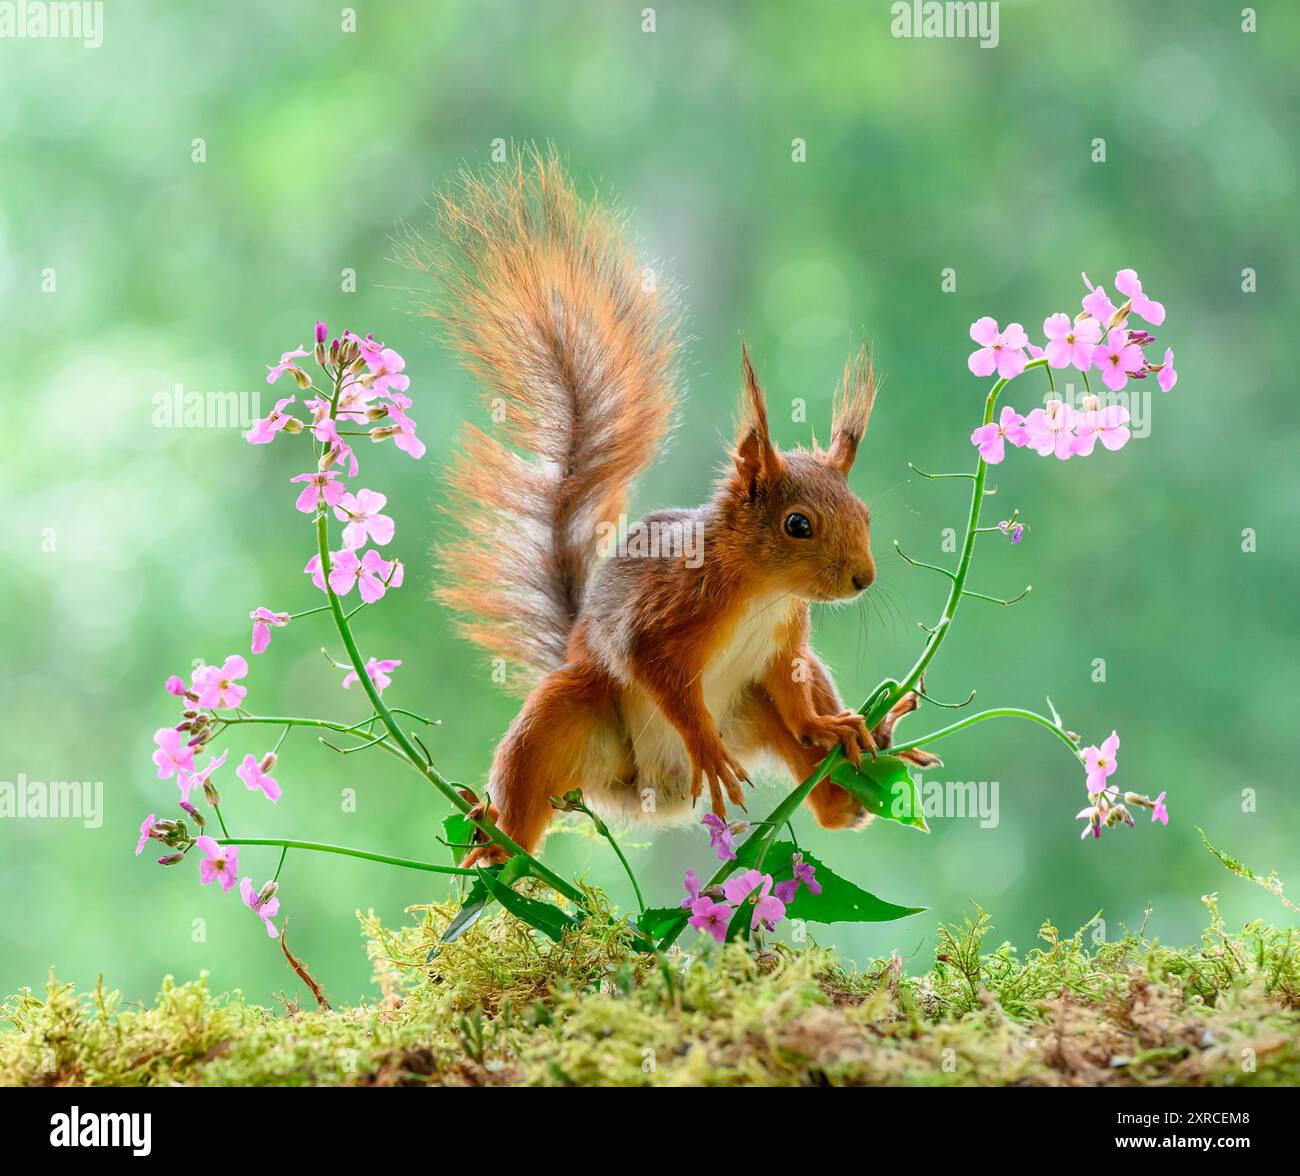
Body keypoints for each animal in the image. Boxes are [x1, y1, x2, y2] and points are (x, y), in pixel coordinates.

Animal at [411, 151, 936, 866]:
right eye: (798, 524)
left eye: (865, 516)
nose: (864, 579)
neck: (761, 589)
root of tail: (649, 796)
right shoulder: (662, 619)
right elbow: (662, 678)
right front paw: (707, 748)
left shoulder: (785, 647)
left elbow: (795, 695)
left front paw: (824, 724)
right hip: (569, 713)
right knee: (526, 788)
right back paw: (495, 840)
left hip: (755, 710)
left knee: (827, 802)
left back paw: (864, 745)